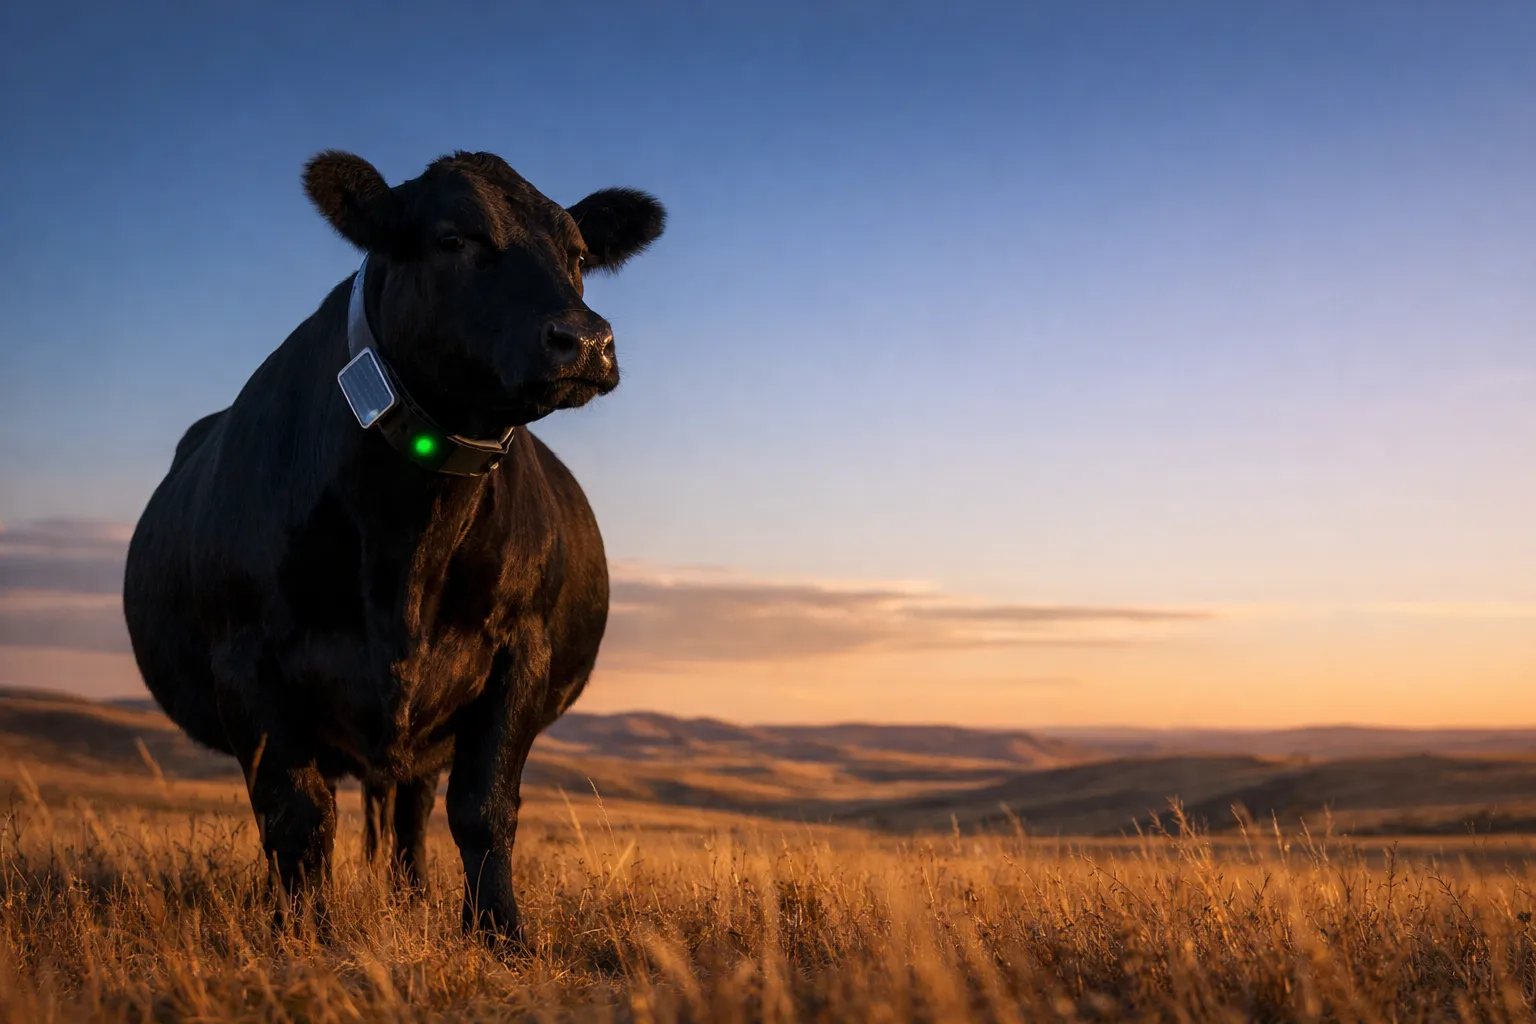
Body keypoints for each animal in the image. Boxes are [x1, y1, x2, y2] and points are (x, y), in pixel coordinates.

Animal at [122, 150, 665, 941]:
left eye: (579, 255)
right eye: (453, 238)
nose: (587, 340)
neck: (408, 543)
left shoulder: (520, 650)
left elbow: (484, 808)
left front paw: (500, 935)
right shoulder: (245, 655)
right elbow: (297, 812)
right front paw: (304, 933)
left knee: (408, 811)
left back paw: (409, 897)